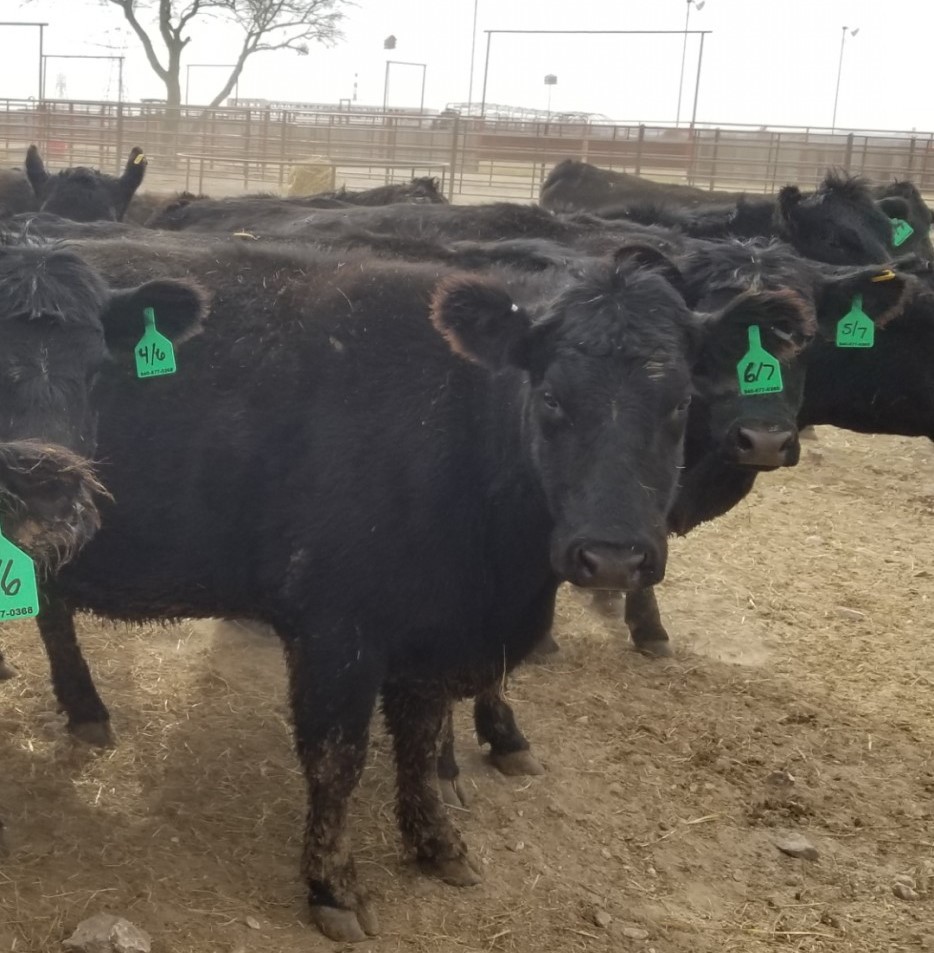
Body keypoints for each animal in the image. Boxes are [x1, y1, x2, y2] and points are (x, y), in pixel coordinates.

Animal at [2, 235, 815, 941]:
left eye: (678, 401)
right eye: (551, 397)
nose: (613, 556)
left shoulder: (432, 632)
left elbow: (421, 744)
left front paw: (439, 843)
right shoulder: (336, 628)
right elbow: (338, 758)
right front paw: (334, 887)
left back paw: (85, 709)